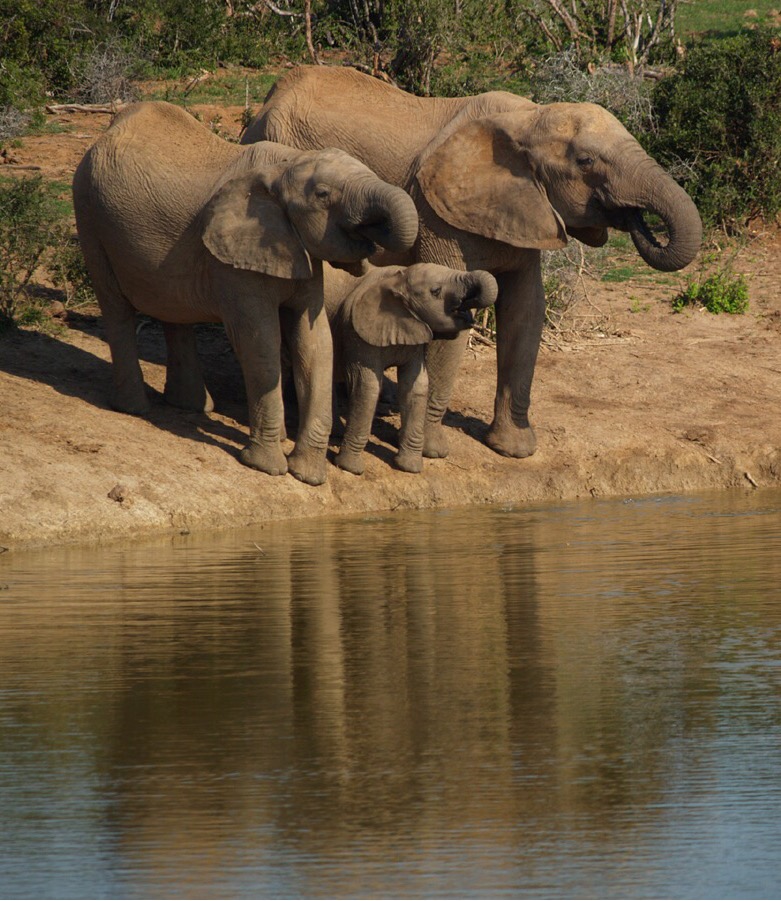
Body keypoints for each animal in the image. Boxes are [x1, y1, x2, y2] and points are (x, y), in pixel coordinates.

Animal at [72, 100, 419, 486]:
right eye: (323, 195)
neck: (285, 166)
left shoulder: (298, 251)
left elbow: (314, 341)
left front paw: (308, 476)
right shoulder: (234, 261)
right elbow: (259, 341)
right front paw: (266, 466)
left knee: (173, 311)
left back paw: (192, 406)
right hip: (88, 213)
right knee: (115, 306)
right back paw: (133, 408)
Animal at [323, 262, 498, 475]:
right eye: (436, 291)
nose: (467, 308)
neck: (398, 278)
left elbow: (416, 386)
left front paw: (410, 468)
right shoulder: (356, 332)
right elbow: (366, 387)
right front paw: (350, 468)